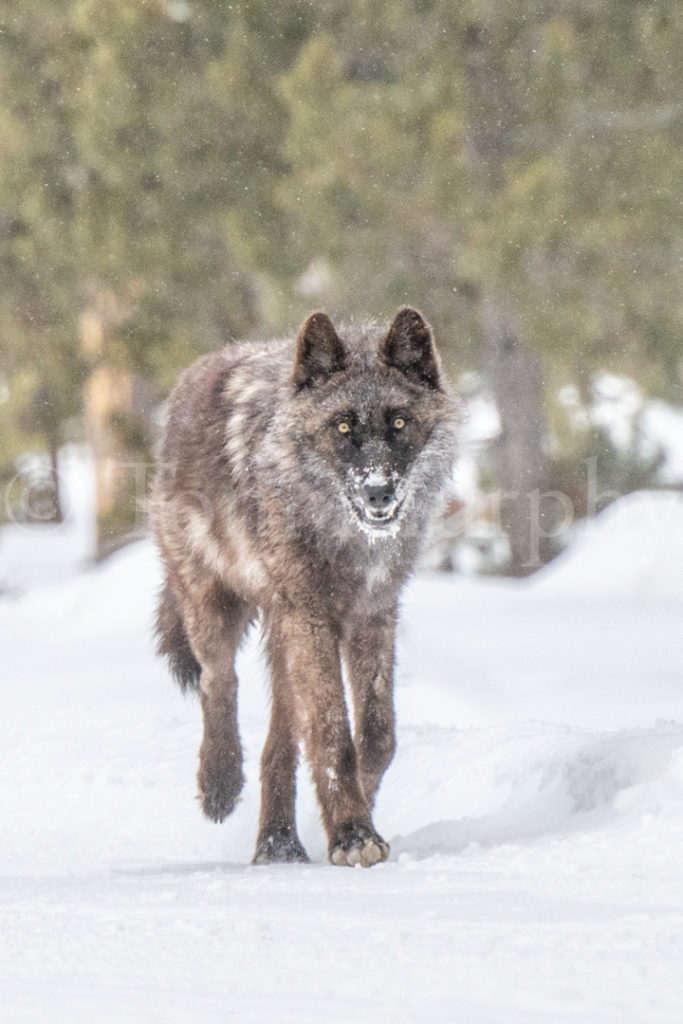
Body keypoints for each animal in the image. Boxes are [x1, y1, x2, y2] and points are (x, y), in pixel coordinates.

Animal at [150, 307, 456, 867]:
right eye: (343, 426)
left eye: (399, 422)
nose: (378, 491)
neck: (346, 537)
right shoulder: (312, 618)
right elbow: (334, 736)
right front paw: (353, 833)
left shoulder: (373, 614)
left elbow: (376, 737)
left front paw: (356, 813)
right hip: (217, 608)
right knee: (218, 681)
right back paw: (220, 783)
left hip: (286, 635)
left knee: (279, 744)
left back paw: (278, 844)